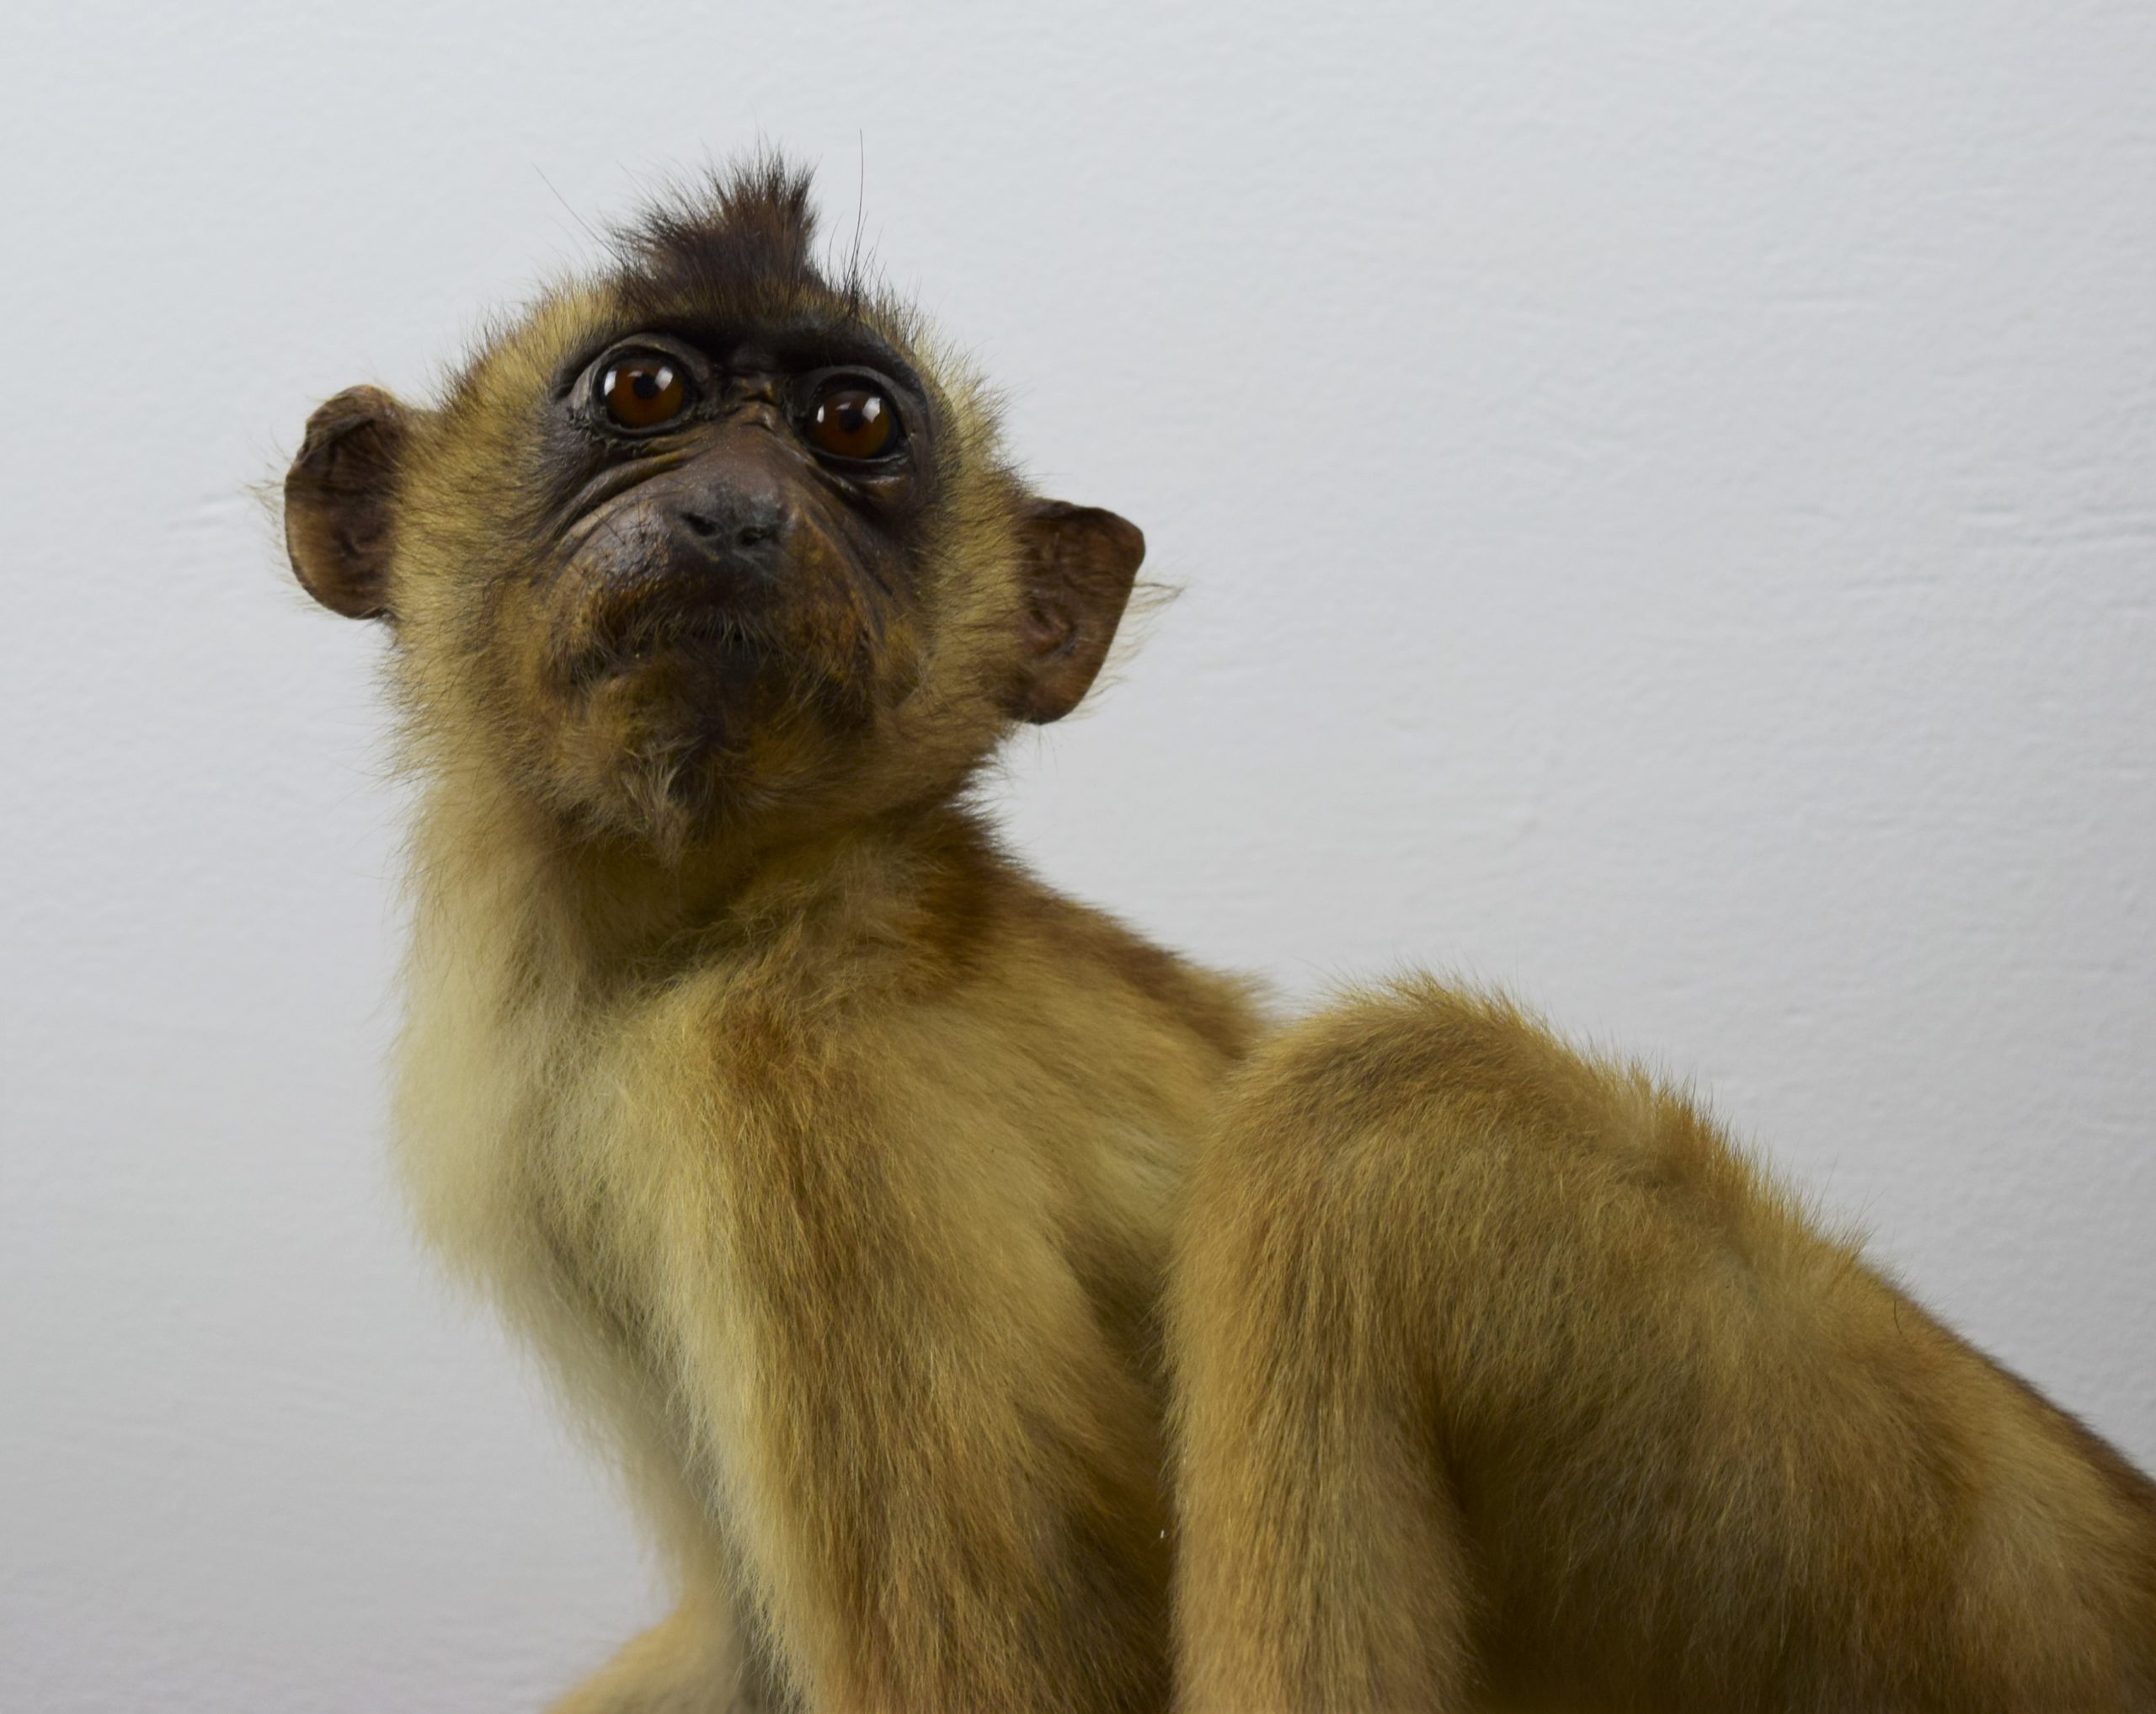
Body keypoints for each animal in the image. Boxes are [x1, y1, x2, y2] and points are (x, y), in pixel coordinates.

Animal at [283, 158, 2155, 1712]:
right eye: (650, 394)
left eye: (852, 428)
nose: (740, 510)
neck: (713, 924)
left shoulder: (798, 1104)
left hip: (1963, 1563)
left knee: (1364, 1111)